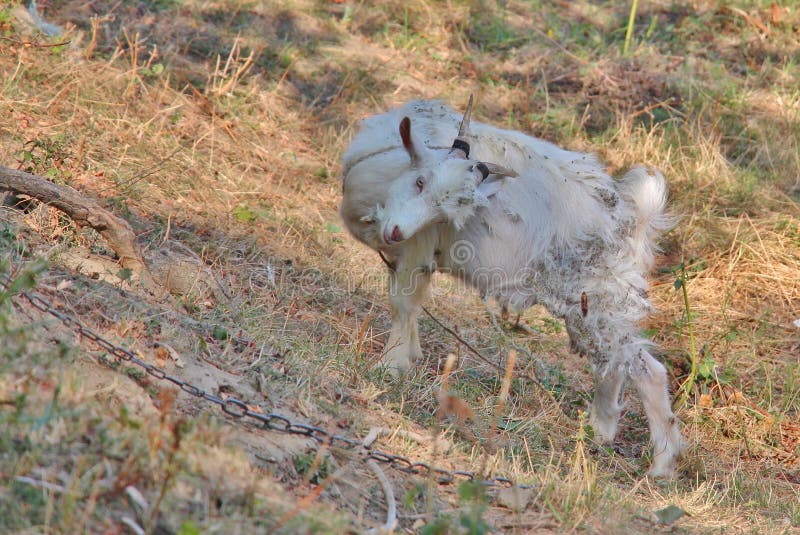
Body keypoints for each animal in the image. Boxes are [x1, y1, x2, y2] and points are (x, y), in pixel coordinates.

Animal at [340, 97, 684, 478]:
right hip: (591, 304)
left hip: (603, 293)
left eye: (444, 215)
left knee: (646, 368)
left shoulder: (419, 247)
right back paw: (601, 429)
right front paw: (410, 355)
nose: (395, 231)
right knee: (612, 360)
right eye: (420, 181)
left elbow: (403, 304)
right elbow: (408, 306)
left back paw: (662, 462)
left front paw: (389, 367)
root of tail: (632, 217)